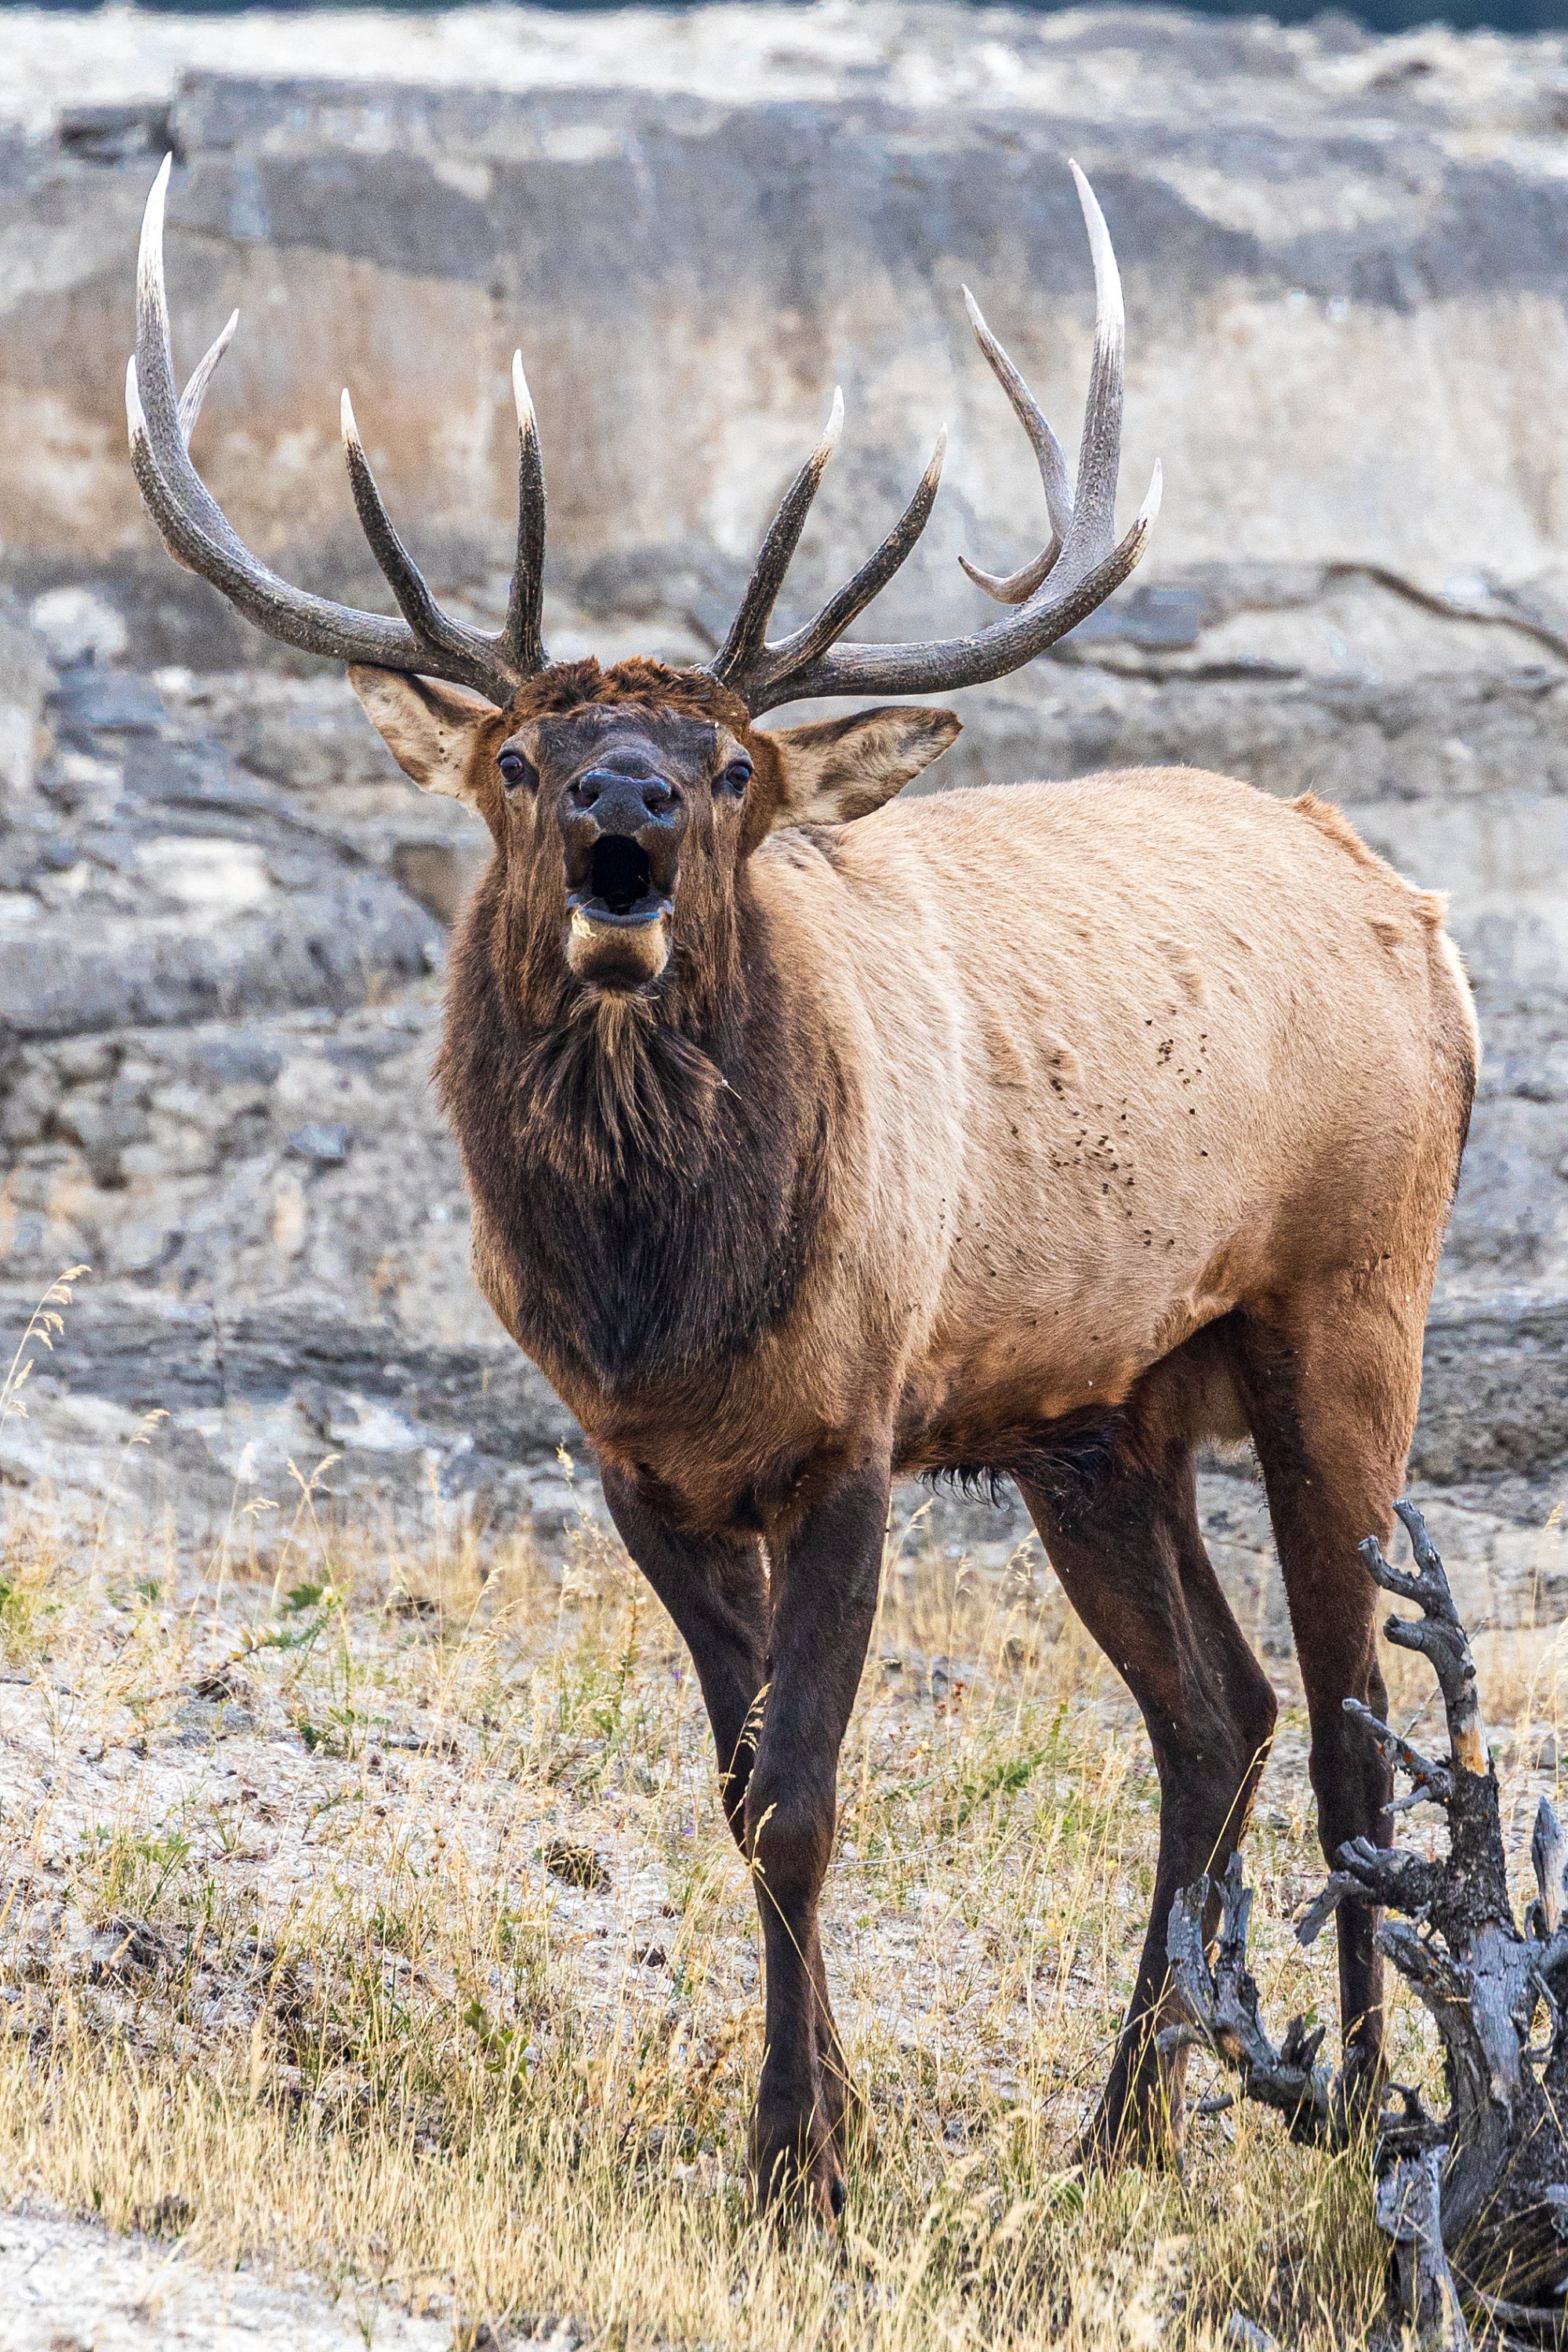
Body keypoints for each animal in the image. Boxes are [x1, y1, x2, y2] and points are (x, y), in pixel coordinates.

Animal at [125, 153, 1478, 2218]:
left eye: (736, 765)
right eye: (515, 753)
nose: (625, 807)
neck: (663, 1301)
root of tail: (1421, 921)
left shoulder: (854, 1427)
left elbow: (804, 1798)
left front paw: (799, 2166)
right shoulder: (632, 1464)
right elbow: (735, 1779)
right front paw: (820, 2132)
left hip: (1347, 1302)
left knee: (1352, 1738)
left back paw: (1356, 2126)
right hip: (1097, 1416)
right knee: (1216, 1712)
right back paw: (1120, 2125)